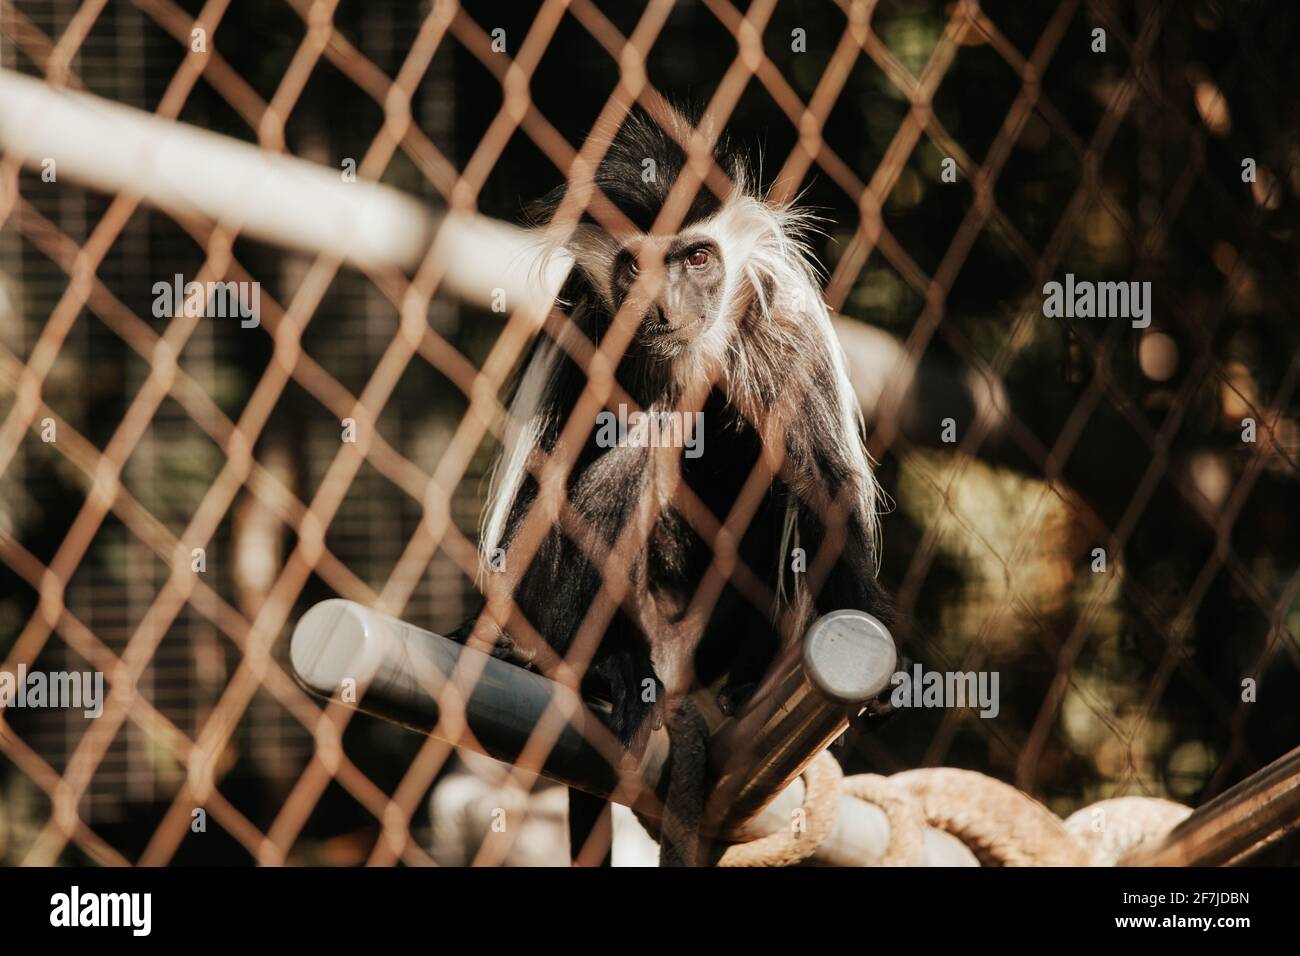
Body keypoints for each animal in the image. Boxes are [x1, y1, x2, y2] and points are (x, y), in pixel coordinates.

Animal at [461, 108, 893, 865]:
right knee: (640, 451)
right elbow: (525, 522)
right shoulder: (583, 322)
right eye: (636, 266)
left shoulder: (783, 324)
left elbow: (825, 482)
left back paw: (747, 677)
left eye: (695, 259)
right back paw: (606, 669)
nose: (664, 307)